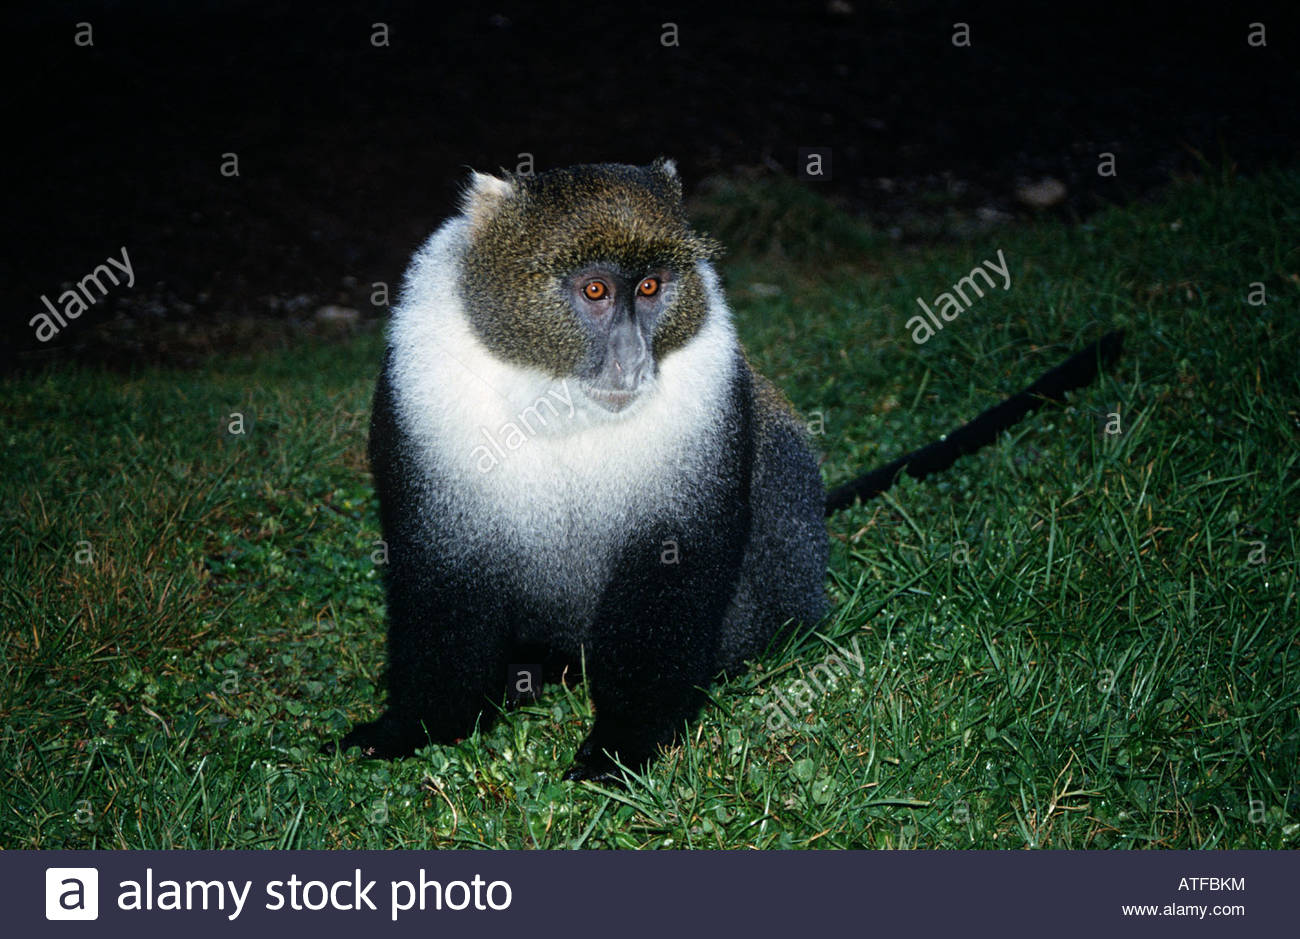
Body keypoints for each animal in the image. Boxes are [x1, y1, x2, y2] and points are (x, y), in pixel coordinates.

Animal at [326, 159, 1122, 782]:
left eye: (651, 288)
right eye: (595, 291)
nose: (633, 363)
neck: (556, 397)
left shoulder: (704, 403)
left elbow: (677, 564)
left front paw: (622, 745)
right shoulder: (426, 396)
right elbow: (437, 574)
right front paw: (415, 729)